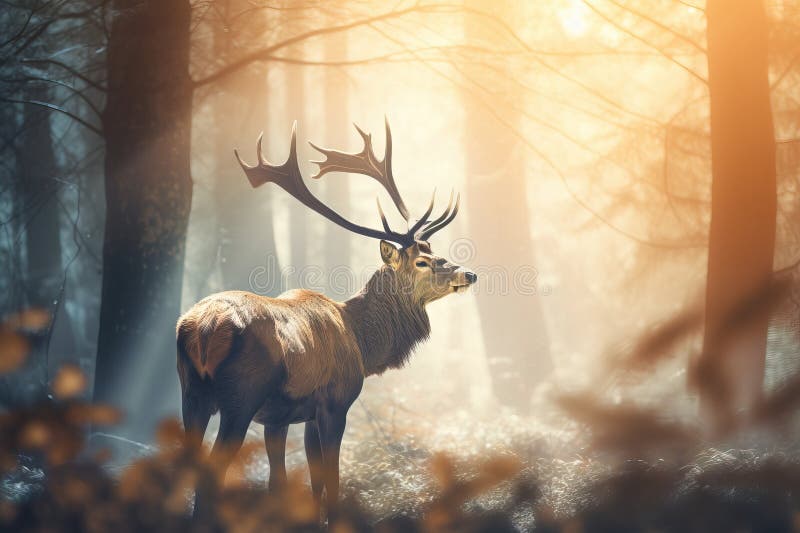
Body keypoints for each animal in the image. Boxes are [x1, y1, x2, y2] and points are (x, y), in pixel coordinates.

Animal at [176, 120, 476, 517]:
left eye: (434, 251)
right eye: (422, 261)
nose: (469, 274)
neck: (361, 341)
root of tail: (202, 329)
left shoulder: (281, 417)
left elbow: (287, 483)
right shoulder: (335, 402)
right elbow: (330, 482)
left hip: (189, 393)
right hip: (240, 396)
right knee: (214, 471)